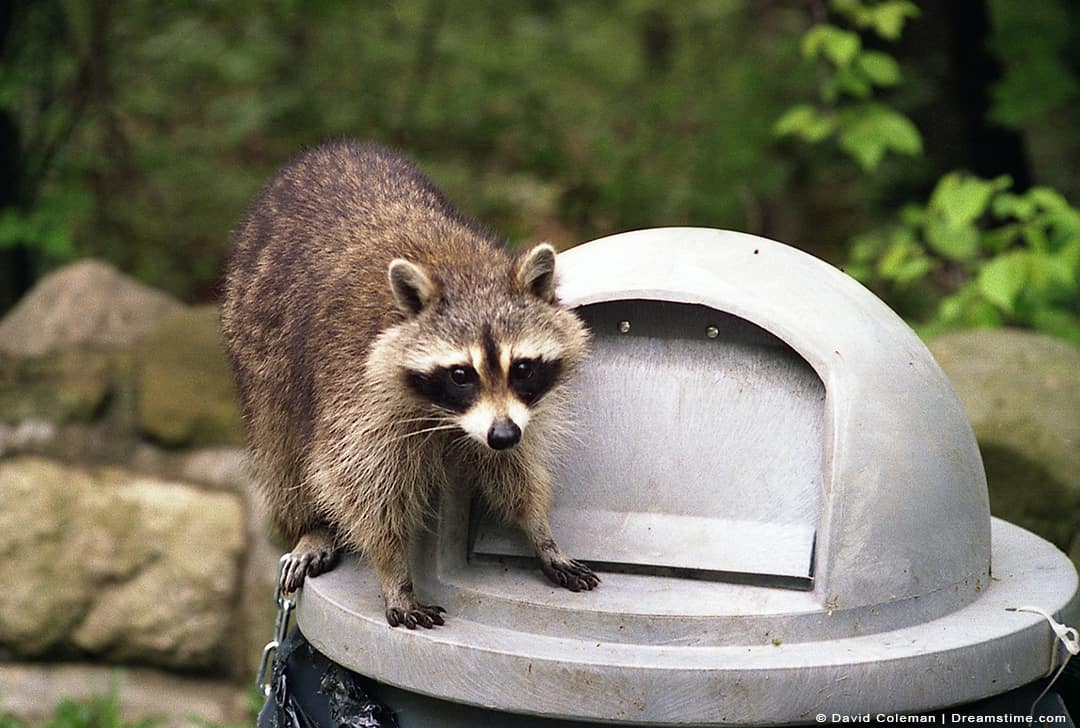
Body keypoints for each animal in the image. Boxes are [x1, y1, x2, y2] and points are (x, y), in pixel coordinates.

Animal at [222, 141, 598, 629]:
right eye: (461, 374)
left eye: (521, 367)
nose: (502, 434)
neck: (461, 269)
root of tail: (328, 151)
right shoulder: (357, 397)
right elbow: (360, 487)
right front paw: (394, 573)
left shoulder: (518, 414)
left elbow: (512, 467)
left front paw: (538, 530)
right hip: (257, 343)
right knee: (282, 449)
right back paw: (311, 525)